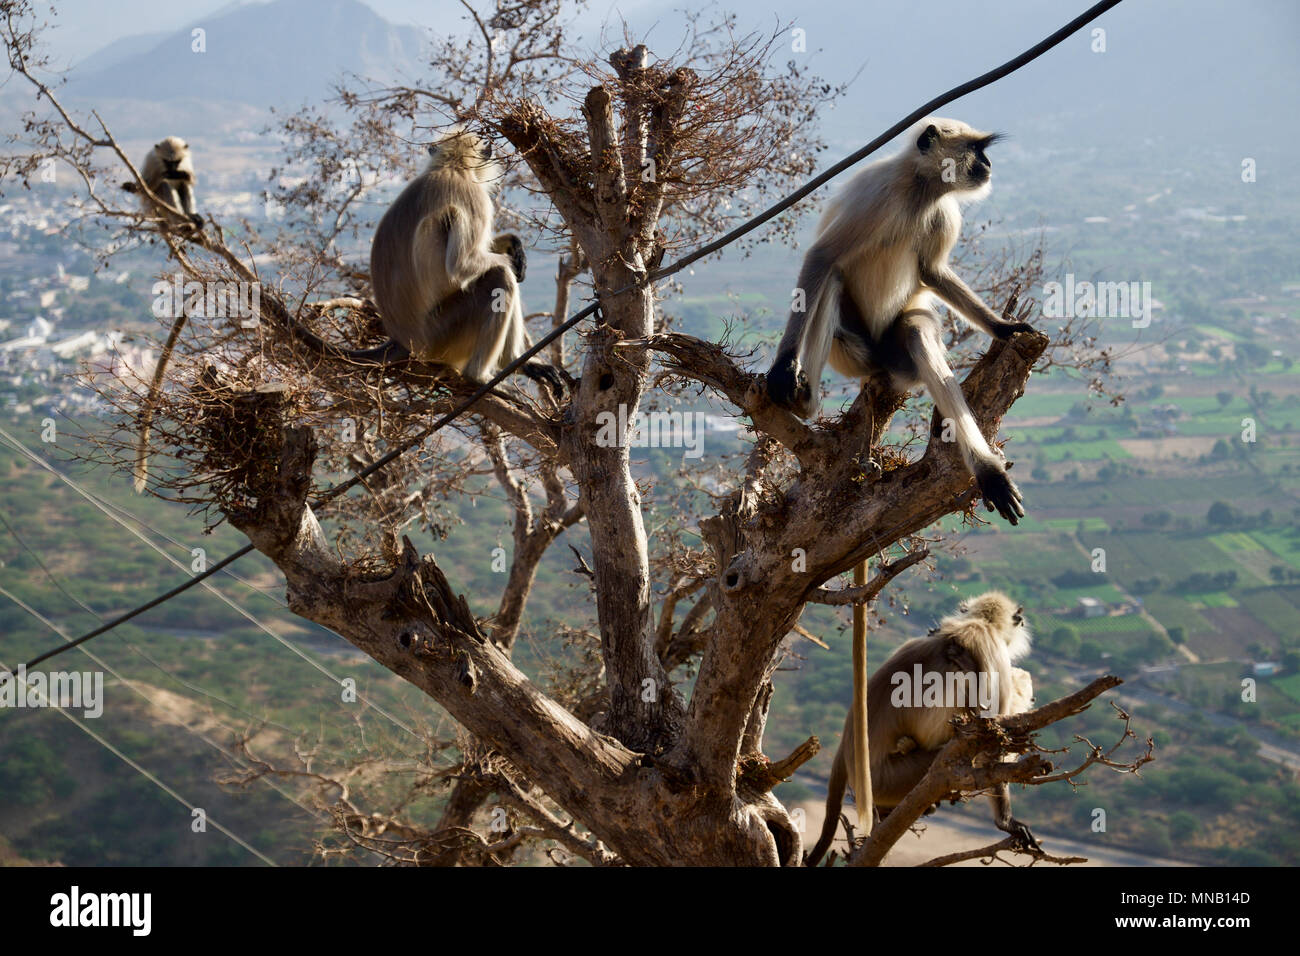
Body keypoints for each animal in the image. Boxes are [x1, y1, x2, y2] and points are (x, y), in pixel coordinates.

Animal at [766, 118, 1035, 525]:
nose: (988, 164)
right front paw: (783, 367)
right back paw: (806, 401)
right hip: (853, 354)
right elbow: (822, 256)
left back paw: (986, 470)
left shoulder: (943, 212)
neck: (919, 190)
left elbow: (931, 272)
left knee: (915, 330)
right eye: (976, 149)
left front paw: (1004, 327)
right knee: (833, 276)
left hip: (897, 361)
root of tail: (879, 367)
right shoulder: (878, 195)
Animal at [805, 591, 1038, 866]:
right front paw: (1006, 822)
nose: (1022, 622)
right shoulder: (996, 651)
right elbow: (991, 739)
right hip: (895, 778)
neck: (977, 624)